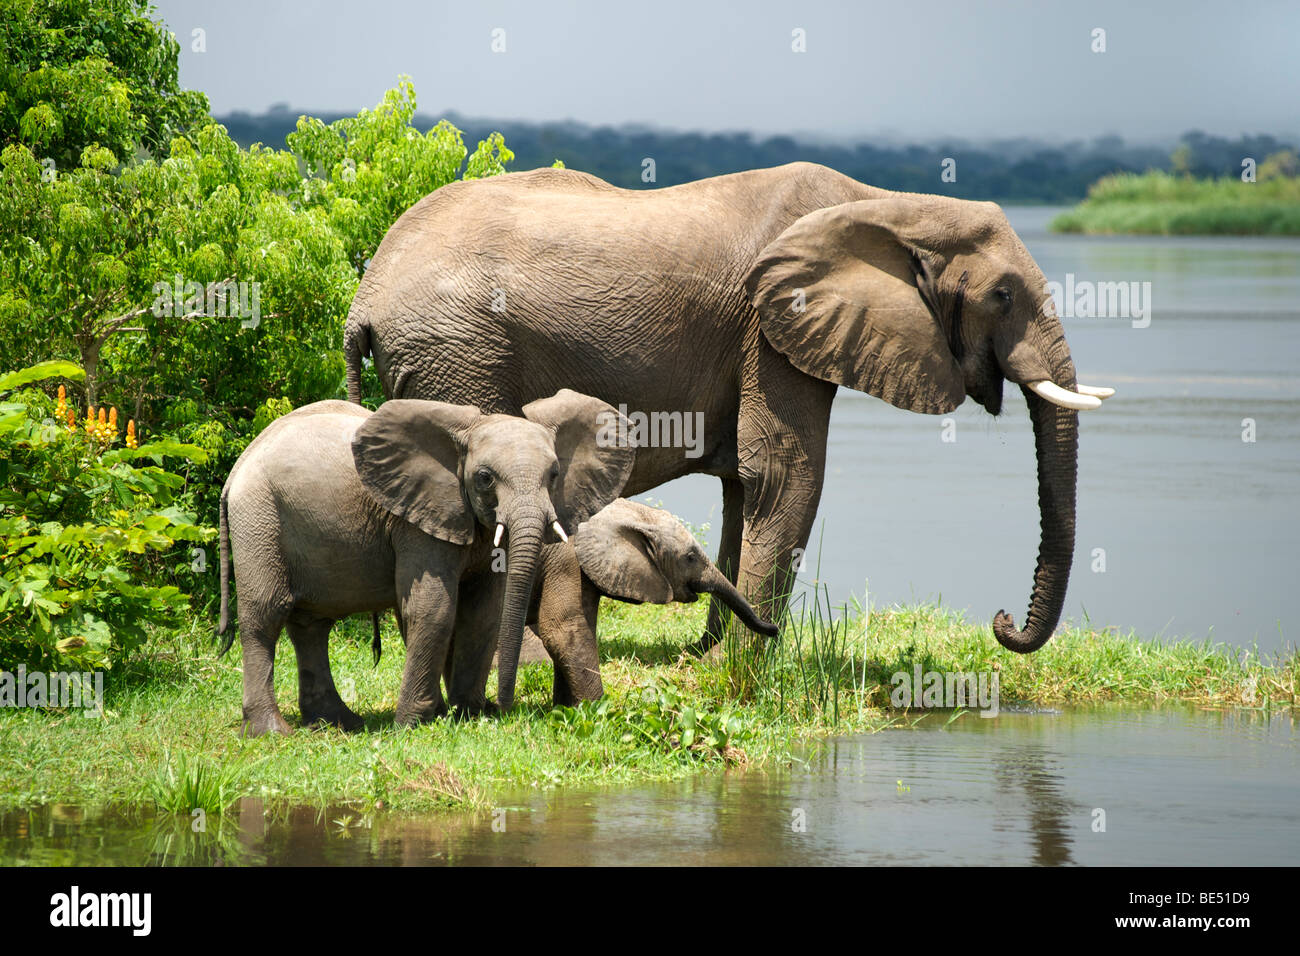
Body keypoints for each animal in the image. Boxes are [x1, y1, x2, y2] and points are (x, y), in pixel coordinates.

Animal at [215, 390, 633, 735]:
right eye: (484, 478)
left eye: (555, 474)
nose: (504, 708)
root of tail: (238, 466)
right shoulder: (416, 519)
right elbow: (433, 607)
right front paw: (412, 725)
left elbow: (482, 612)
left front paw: (467, 715)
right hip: (259, 518)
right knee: (266, 615)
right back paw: (271, 732)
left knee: (311, 624)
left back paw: (339, 723)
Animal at [344, 162, 1114, 656]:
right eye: (1003, 296)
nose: (1002, 622)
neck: (886, 204)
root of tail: (364, 298)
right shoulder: (773, 326)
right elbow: (786, 474)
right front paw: (746, 666)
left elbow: (749, 486)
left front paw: (713, 654)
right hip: (459, 353)